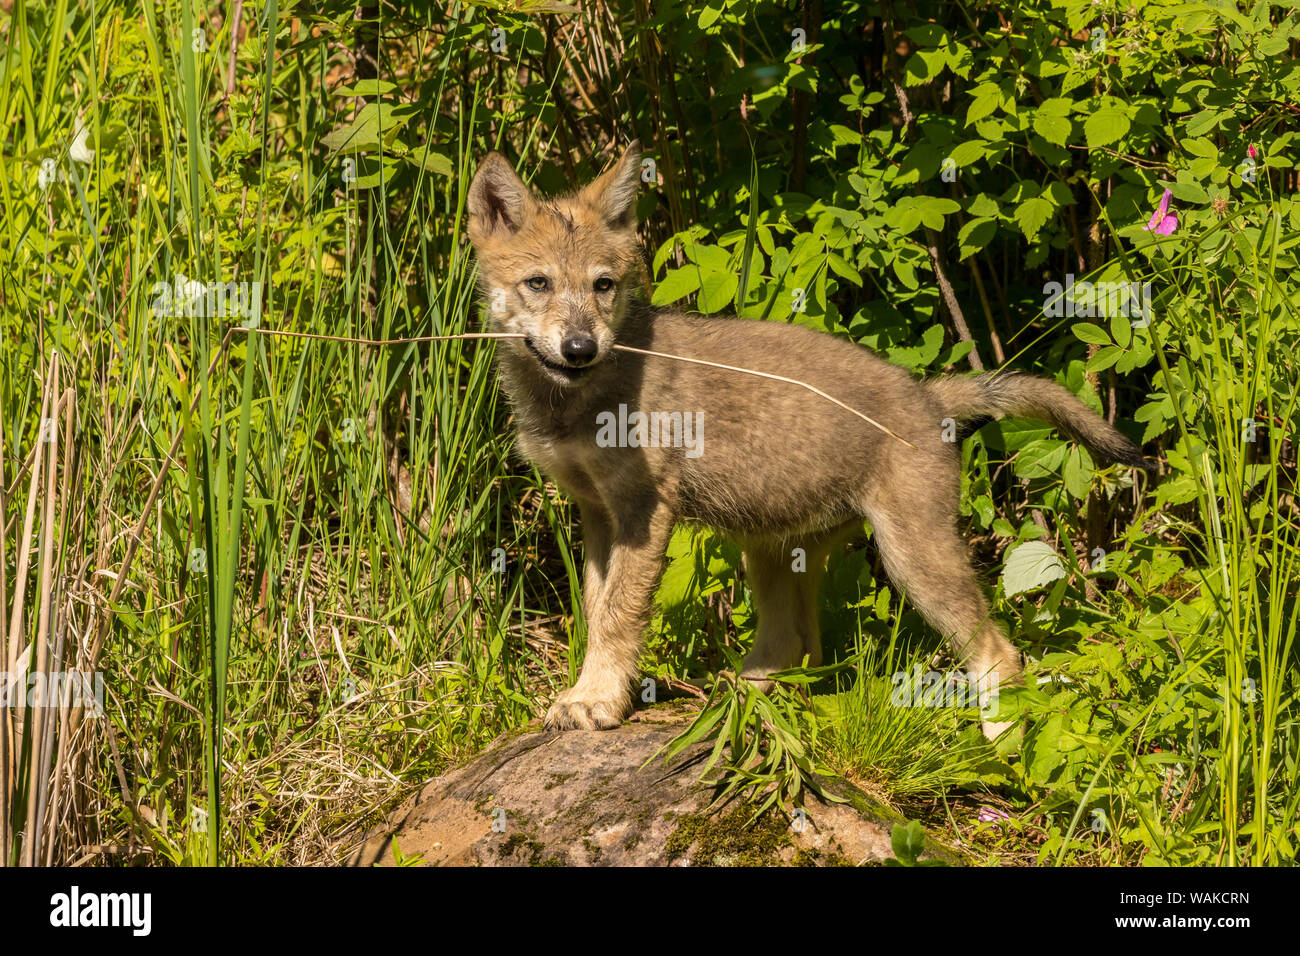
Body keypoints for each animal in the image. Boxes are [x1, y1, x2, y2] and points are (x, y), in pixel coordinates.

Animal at [466, 140, 1150, 738]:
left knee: (998, 652)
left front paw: (597, 702)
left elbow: (616, 617)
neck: (573, 400)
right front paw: (590, 692)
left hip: (910, 559)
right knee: (800, 646)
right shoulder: (596, 512)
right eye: (538, 283)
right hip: (770, 548)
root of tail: (931, 398)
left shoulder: (643, 511)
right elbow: (595, 610)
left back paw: (998, 736)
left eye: (603, 286)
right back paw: (743, 698)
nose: (581, 347)